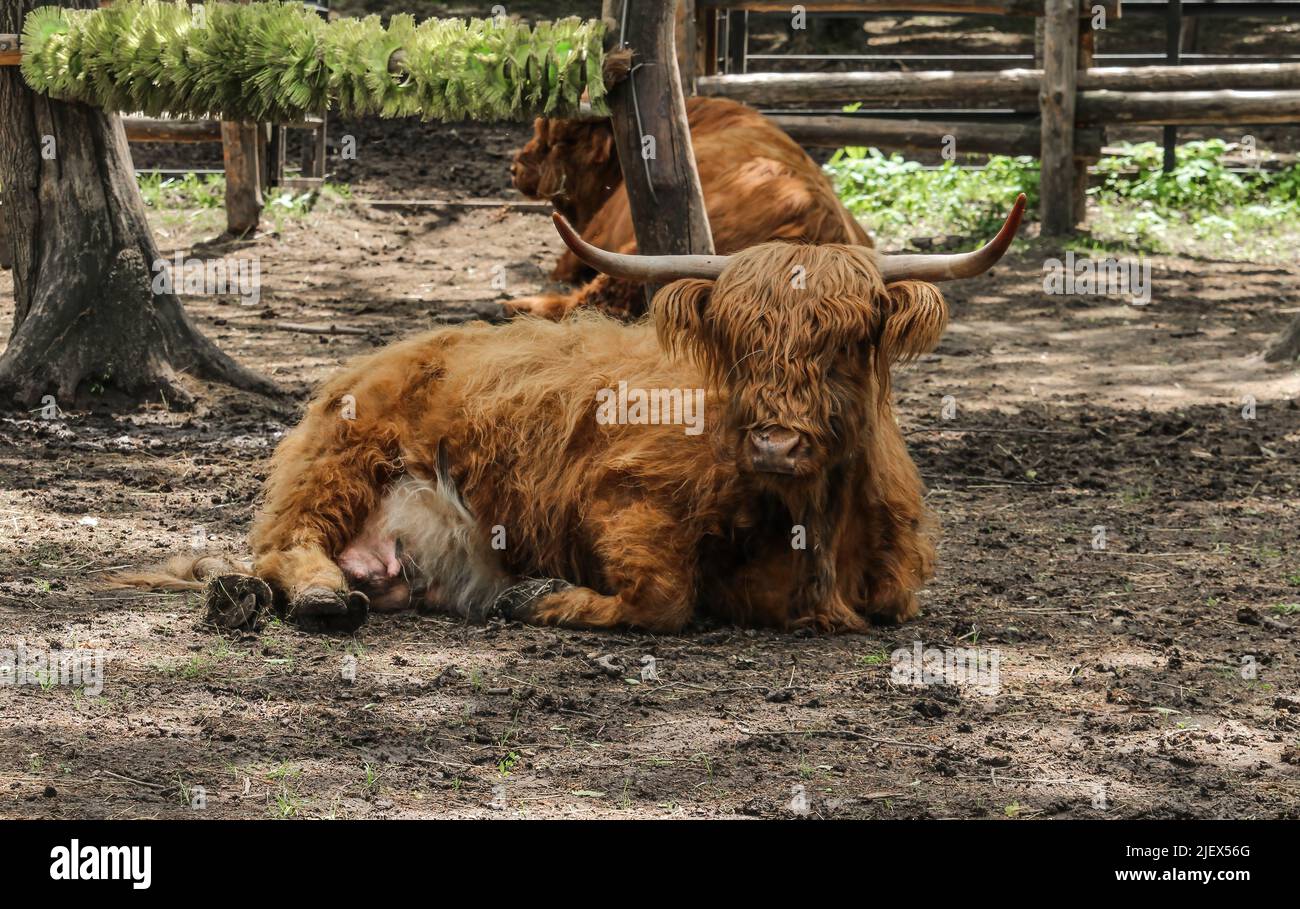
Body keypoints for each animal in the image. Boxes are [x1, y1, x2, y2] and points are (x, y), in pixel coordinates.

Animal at [118, 197, 1024, 634]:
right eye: (736, 343)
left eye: (847, 340)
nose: (773, 440)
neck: (815, 530)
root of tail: (393, 347)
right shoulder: (621, 498)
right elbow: (663, 596)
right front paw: (541, 597)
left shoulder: (893, 585)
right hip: (340, 457)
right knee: (286, 543)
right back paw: (309, 598)